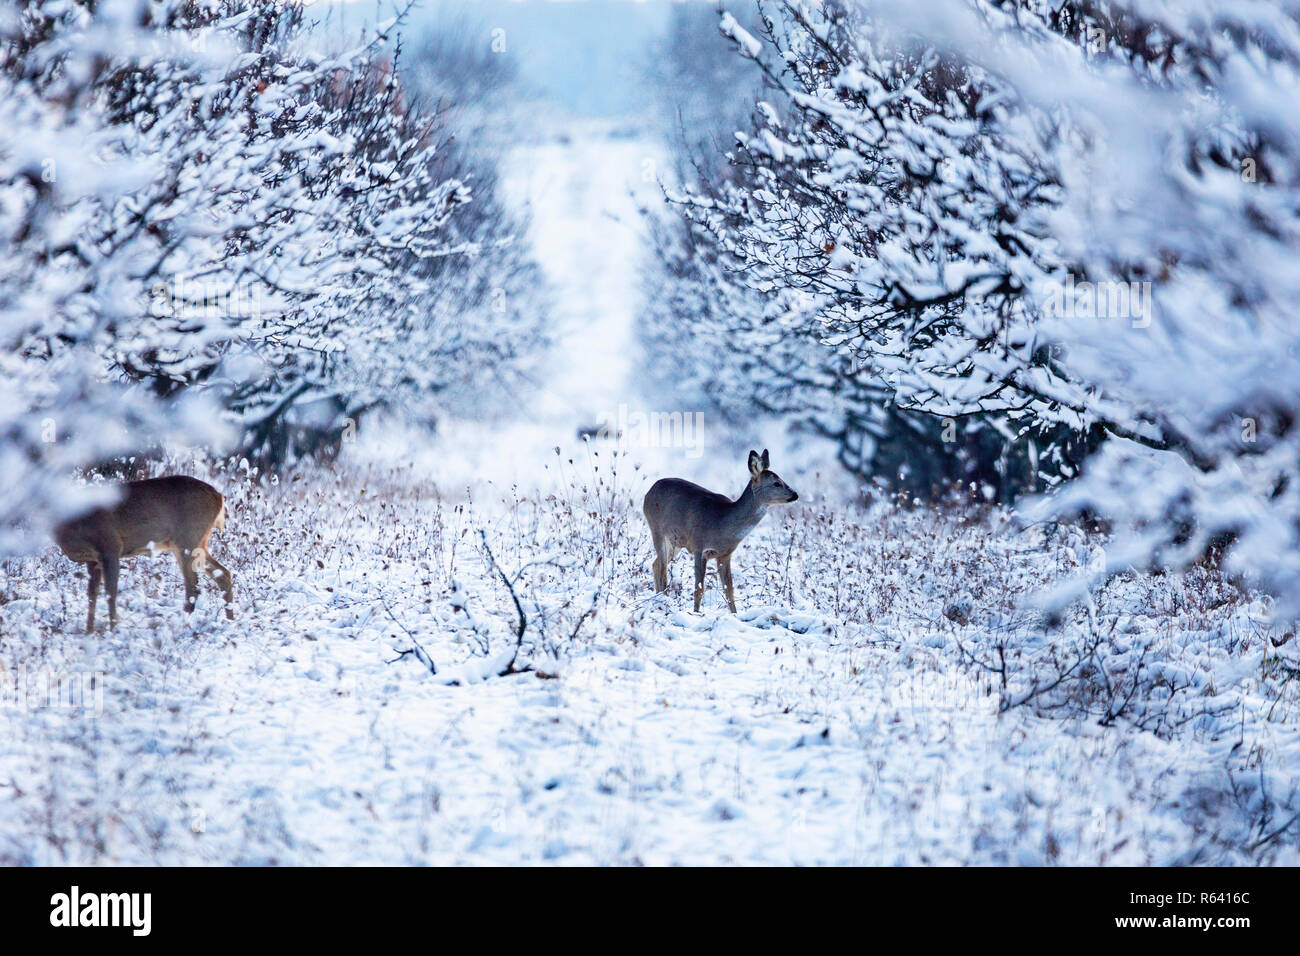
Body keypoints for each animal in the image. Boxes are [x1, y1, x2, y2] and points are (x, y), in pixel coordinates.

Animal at [53, 475, 234, 632]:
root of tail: (219, 496)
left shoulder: (110, 546)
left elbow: (111, 592)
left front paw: (113, 630)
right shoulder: (92, 560)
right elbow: (92, 594)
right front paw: (89, 632)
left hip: (188, 539)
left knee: (193, 586)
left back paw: (181, 625)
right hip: (195, 542)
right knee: (223, 574)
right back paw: (229, 621)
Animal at [643, 449, 799, 614]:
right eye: (776, 483)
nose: (795, 494)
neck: (723, 524)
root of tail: (649, 491)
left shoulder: (725, 555)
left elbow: (729, 590)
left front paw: (734, 614)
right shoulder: (699, 546)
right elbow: (699, 589)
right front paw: (696, 613)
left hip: (675, 543)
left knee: (656, 564)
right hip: (656, 528)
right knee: (662, 570)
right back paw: (662, 601)